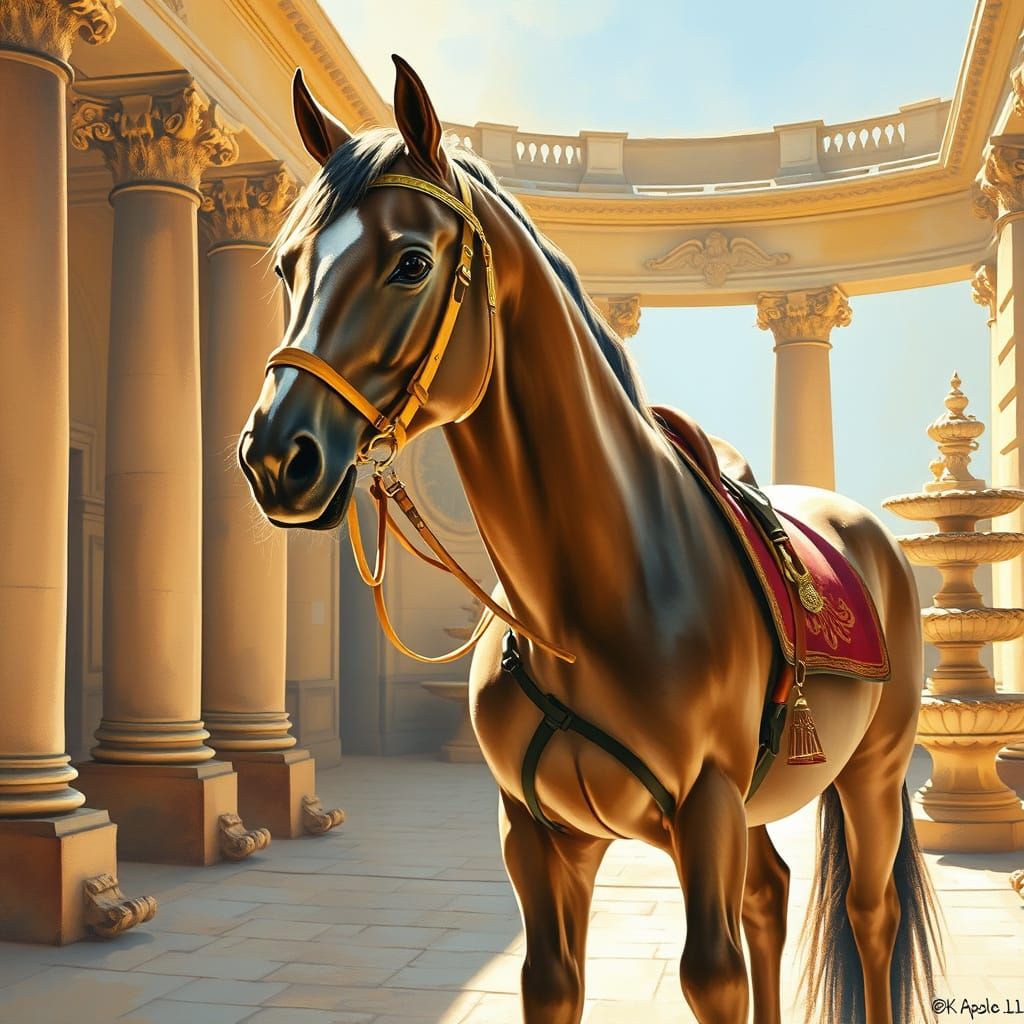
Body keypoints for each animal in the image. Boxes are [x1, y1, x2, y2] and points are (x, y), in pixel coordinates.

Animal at [238, 55, 942, 1024]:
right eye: (286, 263)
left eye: (411, 263)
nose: (277, 455)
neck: (597, 595)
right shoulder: (538, 833)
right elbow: (551, 983)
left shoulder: (706, 811)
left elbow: (713, 976)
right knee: (771, 893)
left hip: (872, 771)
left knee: (869, 917)